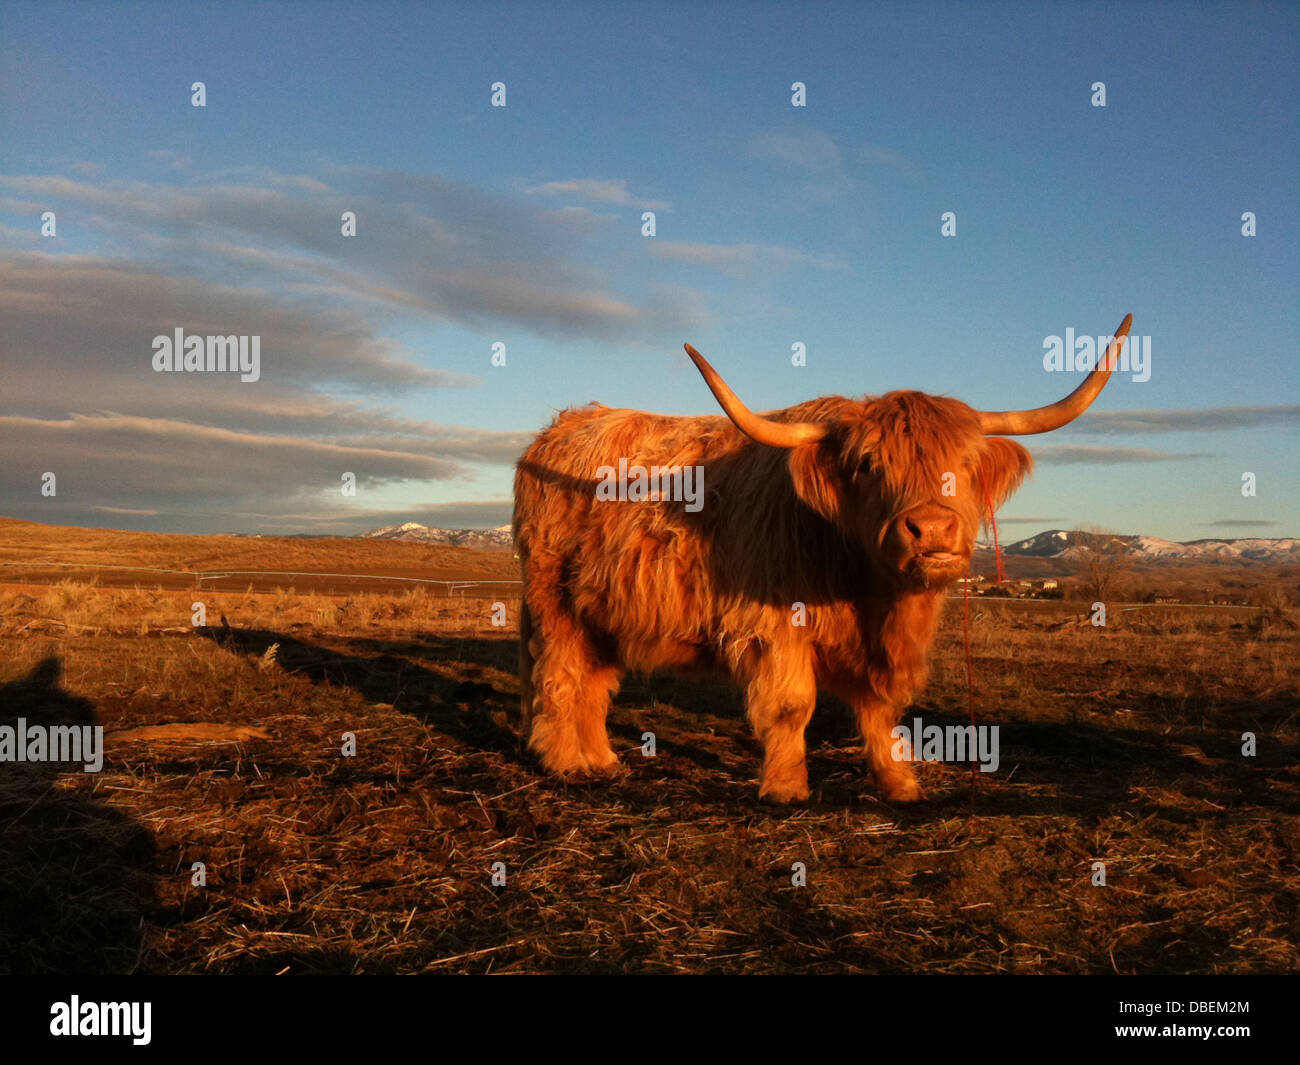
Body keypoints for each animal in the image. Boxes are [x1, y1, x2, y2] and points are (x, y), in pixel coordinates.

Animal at [513, 314, 1132, 803]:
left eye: (966, 462)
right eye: (868, 465)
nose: (930, 528)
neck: (871, 590)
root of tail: (561, 427)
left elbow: (879, 709)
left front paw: (900, 785)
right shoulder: (774, 626)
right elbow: (793, 706)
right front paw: (787, 790)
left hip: (602, 612)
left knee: (594, 682)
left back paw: (600, 759)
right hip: (554, 603)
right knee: (560, 677)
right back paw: (566, 763)